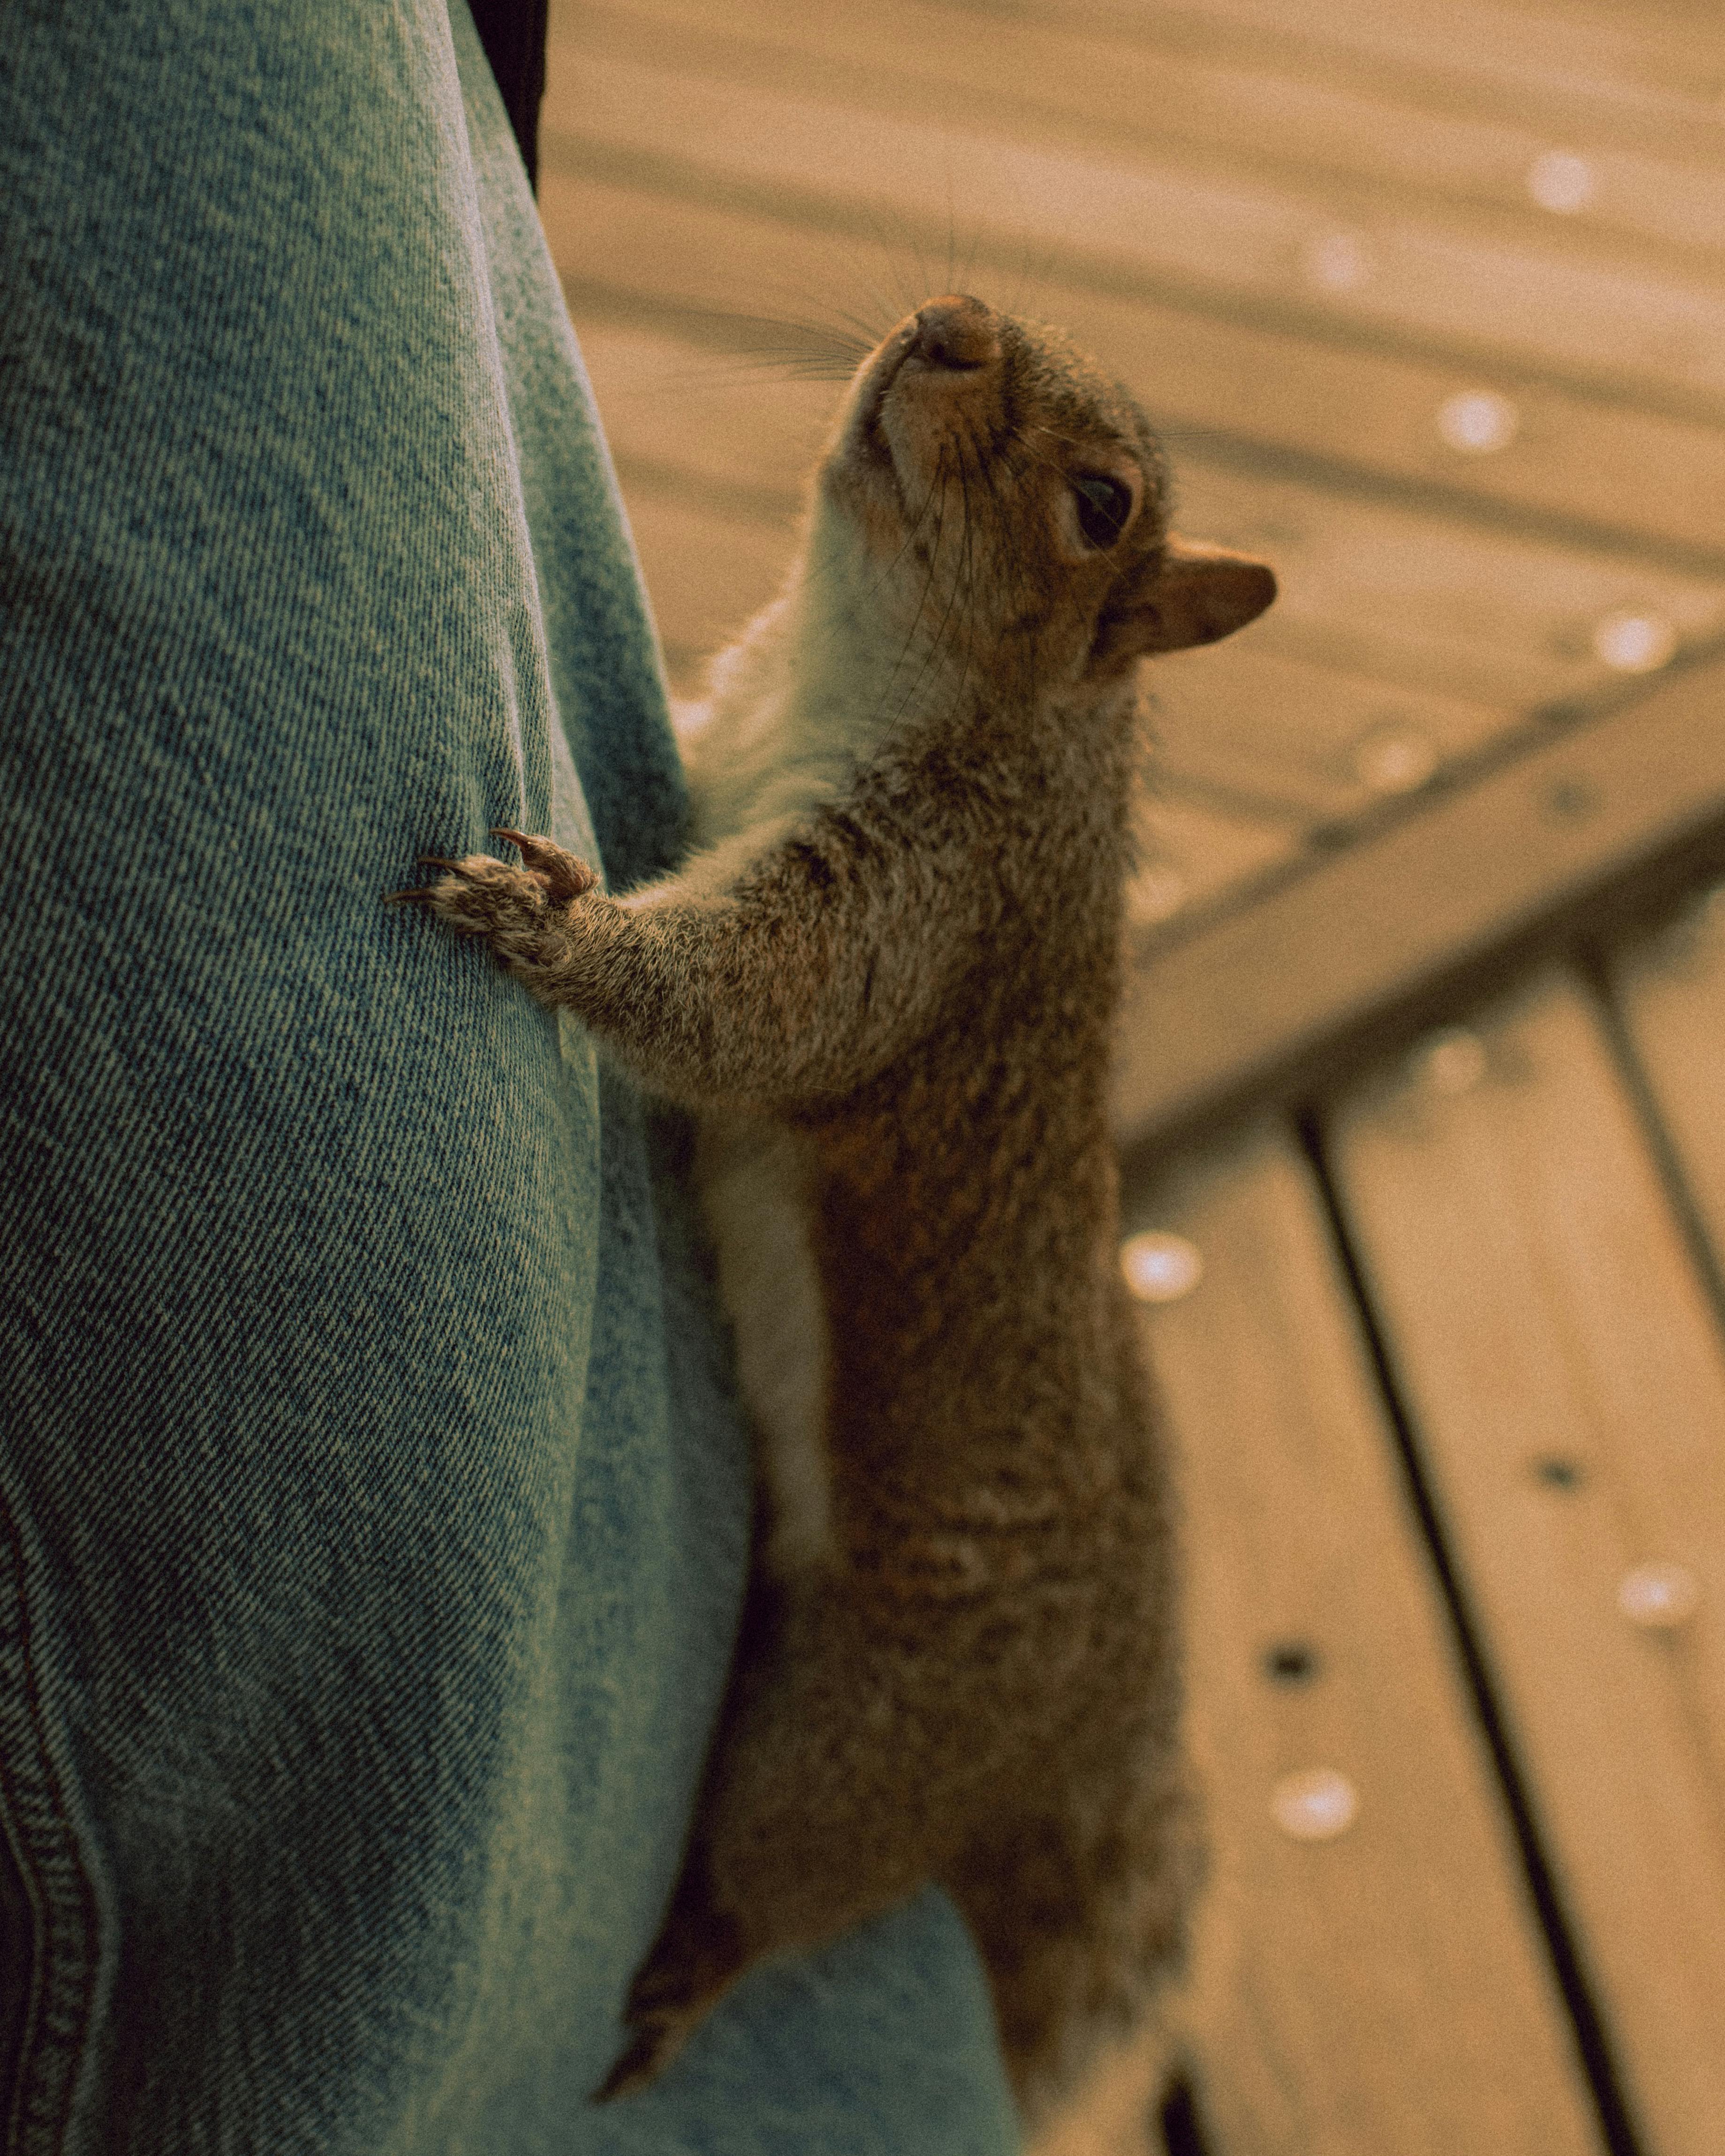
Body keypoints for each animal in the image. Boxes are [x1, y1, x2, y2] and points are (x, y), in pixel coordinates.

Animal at [394, 294, 1275, 2125]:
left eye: (1099, 503)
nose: (949, 323)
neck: (850, 655)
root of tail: (1095, 1710)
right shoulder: (726, 740)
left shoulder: (930, 902)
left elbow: (756, 1007)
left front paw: (547, 928)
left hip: (859, 1738)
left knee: (783, 1873)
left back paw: (689, 1968)